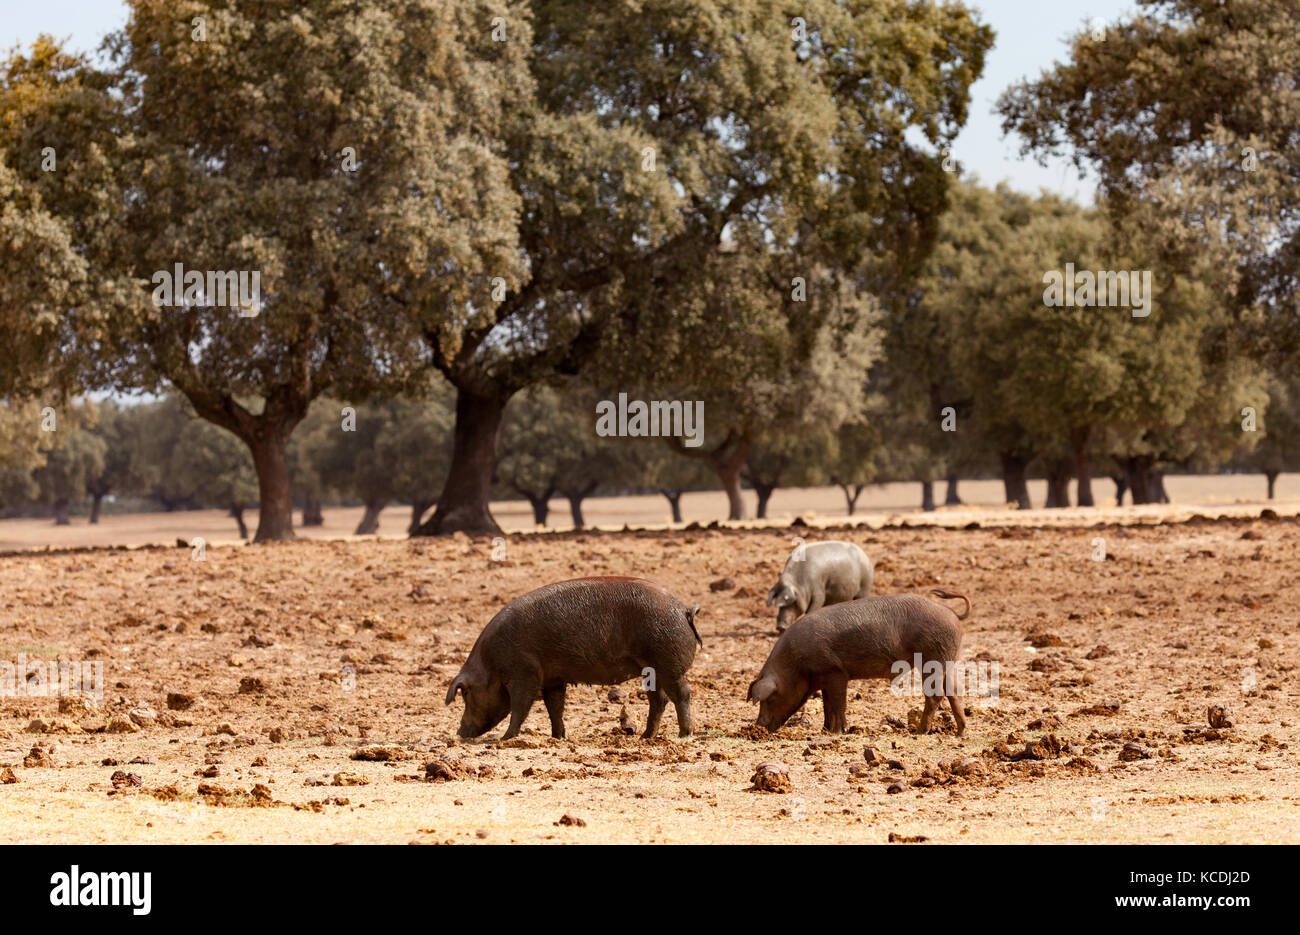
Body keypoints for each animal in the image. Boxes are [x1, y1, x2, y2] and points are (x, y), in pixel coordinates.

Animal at [445, 576, 701, 741]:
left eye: (466, 694)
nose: (459, 733)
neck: (490, 665)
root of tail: (684, 610)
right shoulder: (553, 679)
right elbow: (555, 707)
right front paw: (558, 737)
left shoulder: (525, 673)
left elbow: (520, 706)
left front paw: (504, 739)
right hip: (652, 670)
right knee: (659, 699)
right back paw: (645, 738)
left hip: (667, 664)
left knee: (682, 694)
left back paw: (683, 735)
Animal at [747, 589, 969, 735]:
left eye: (770, 698)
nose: (758, 726)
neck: (795, 664)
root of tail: (951, 613)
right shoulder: (825, 678)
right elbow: (827, 704)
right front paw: (825, 730)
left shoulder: (835, 672)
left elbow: (839, 704)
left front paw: (839, 732)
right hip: (949, 659)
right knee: (954, 692)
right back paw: (960, 732)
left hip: (931, 658)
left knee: (935, 695)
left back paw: (920, 731)